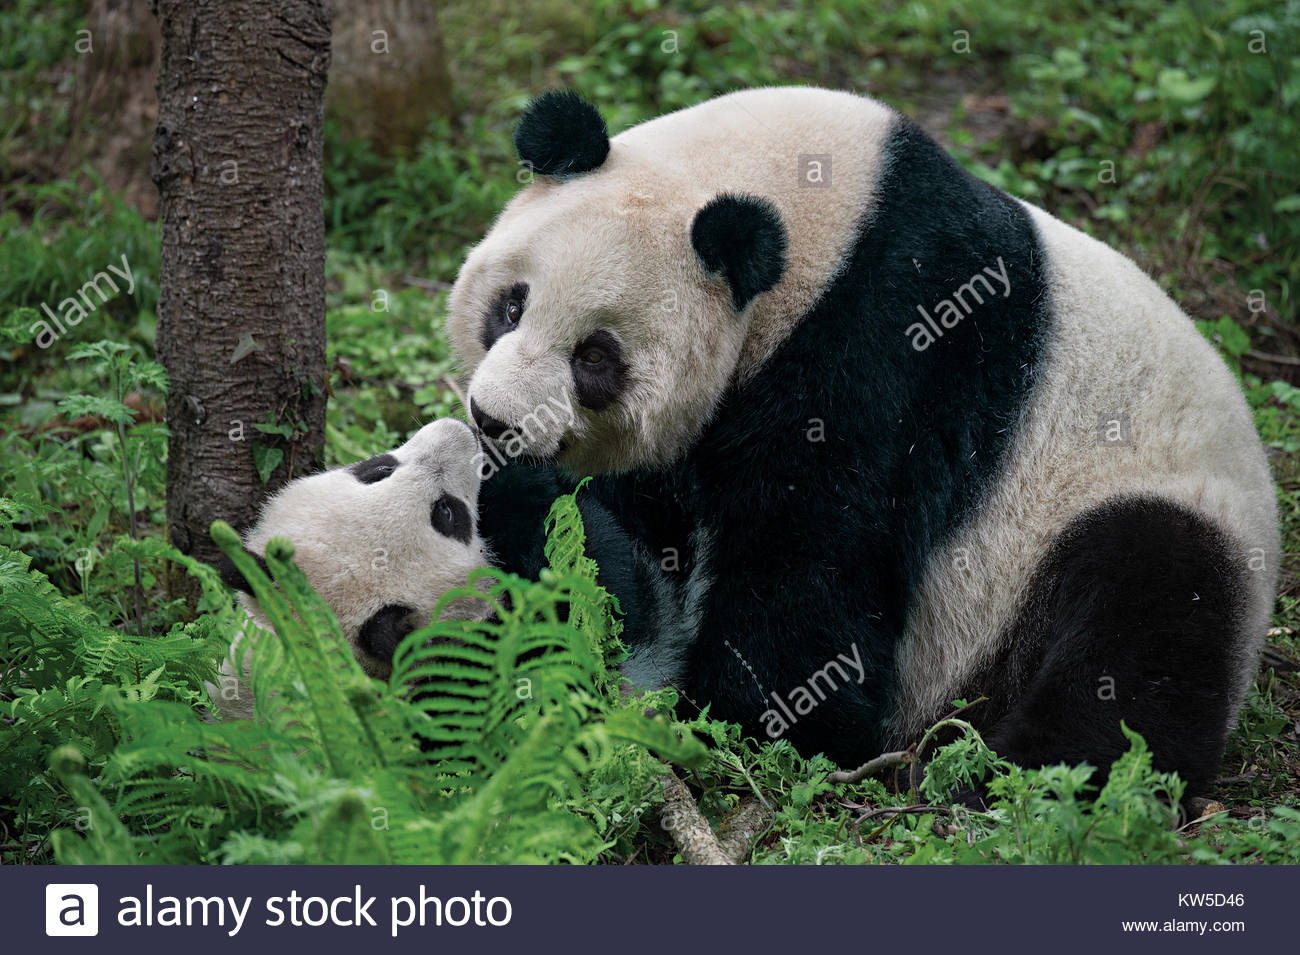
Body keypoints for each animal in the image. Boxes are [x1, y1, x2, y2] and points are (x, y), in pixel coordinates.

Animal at [447, 86, 1280, 795]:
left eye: (596, 358)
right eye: (511, 305)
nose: (494, 420)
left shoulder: (889, 346)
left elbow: (815, 570)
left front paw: (732, 719)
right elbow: (633, 553)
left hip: (1145, 506)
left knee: (1141, 629)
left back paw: (1017, 776)